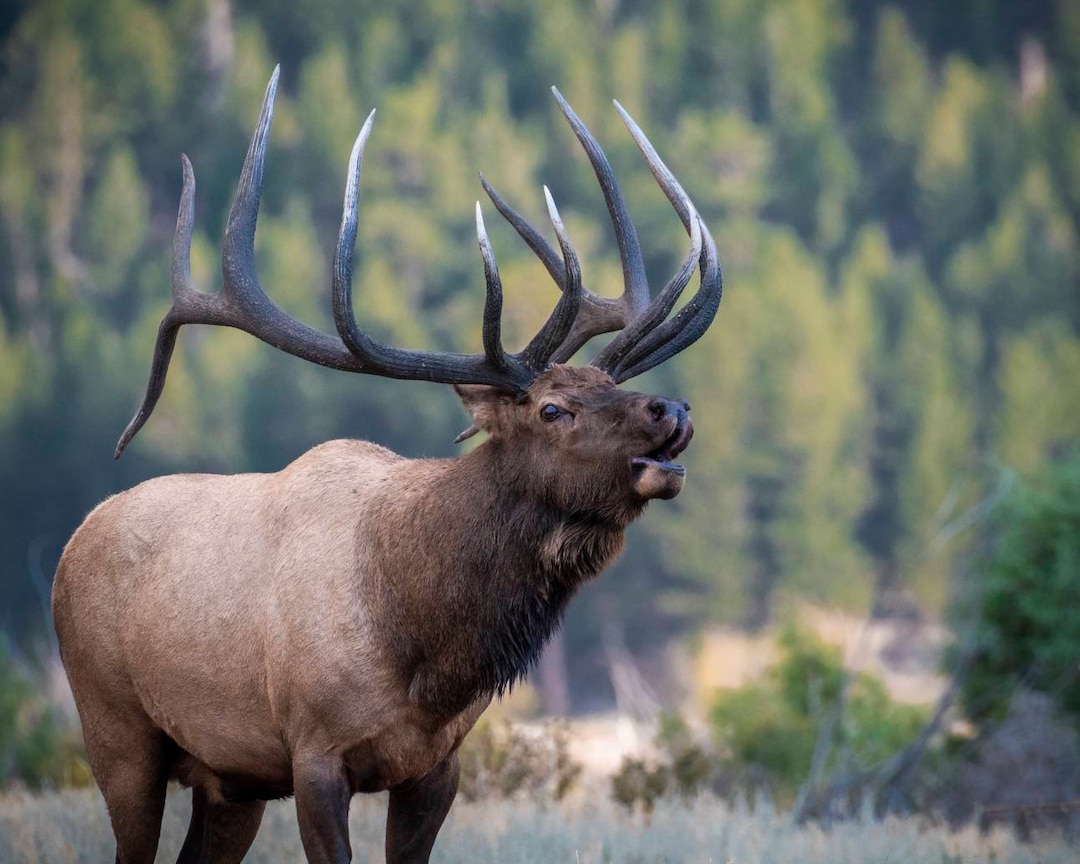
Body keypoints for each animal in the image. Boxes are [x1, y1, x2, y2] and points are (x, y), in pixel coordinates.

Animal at [52, 66, 721, 864]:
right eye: (553, 410)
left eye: (609, 387)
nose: (670, 409)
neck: (425, 649)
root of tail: (74, 540)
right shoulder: (313, 756)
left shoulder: (438, 765)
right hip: (117, 732)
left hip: (228, 779)